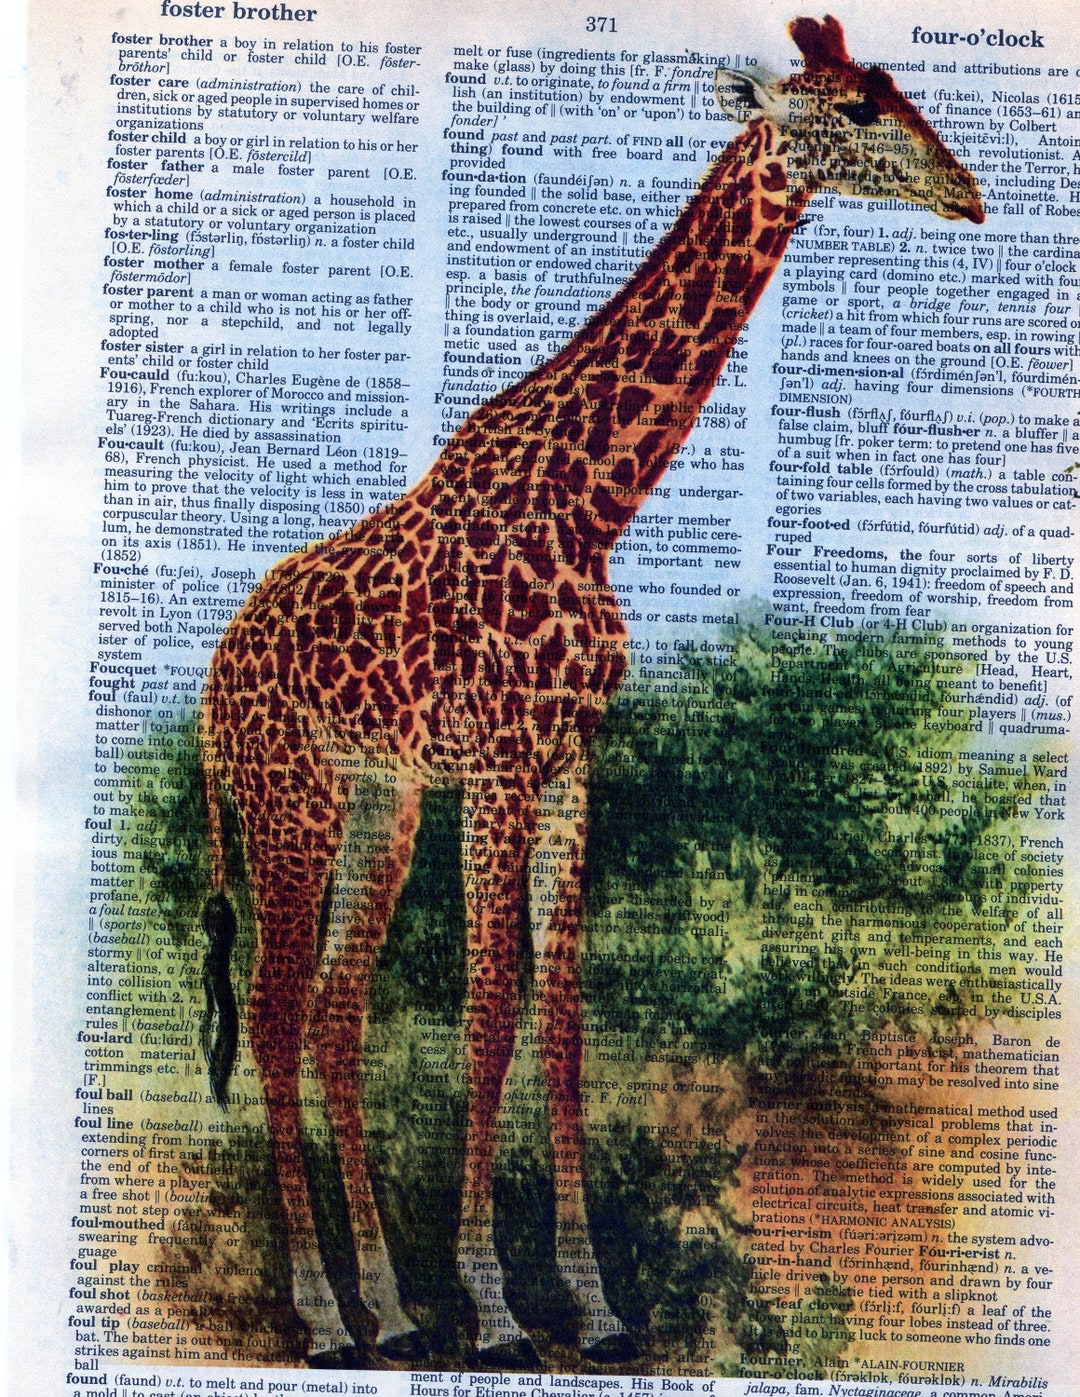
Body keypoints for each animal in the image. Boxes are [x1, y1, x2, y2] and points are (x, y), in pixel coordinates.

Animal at [199, 14, 983, 1369]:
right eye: (855, 112)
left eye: (897, 92)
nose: (971, 194)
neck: (590, 501)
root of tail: (210, 680)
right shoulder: (501, 764)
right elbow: (490, 1010)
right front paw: (499, 1304)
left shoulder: (568, 763)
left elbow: (561, 1016)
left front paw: (597, 1300)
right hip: (289, 799)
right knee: (275, 1008)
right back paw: (324, 1312)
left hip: (379, 799)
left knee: (339, 1010)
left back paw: (388, 1305)